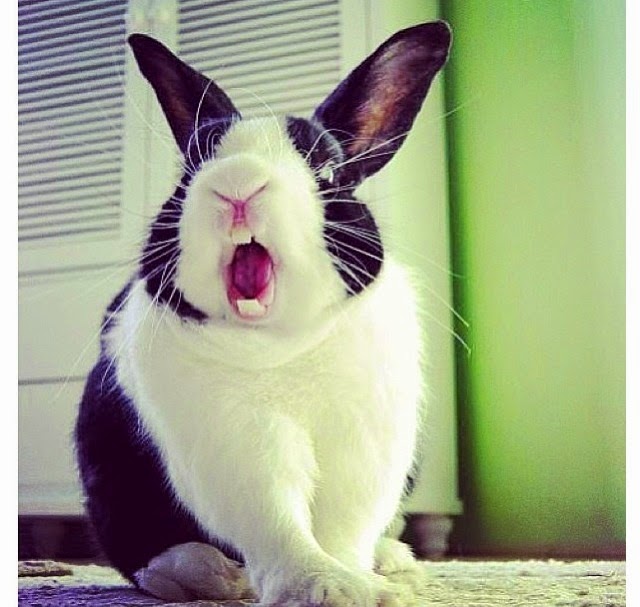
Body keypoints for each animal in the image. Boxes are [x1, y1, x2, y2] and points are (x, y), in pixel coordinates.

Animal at [74, 20, 451, 607]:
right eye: (192, 170)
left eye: (327, 170)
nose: (237, 184)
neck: (279, 341)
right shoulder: (238, 444)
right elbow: (276, 520)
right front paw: (320, 587)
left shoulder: (365, 446)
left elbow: (344, 529)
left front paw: (365, 587)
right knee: (134, 547)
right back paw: (201, 574)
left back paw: (394, 562)